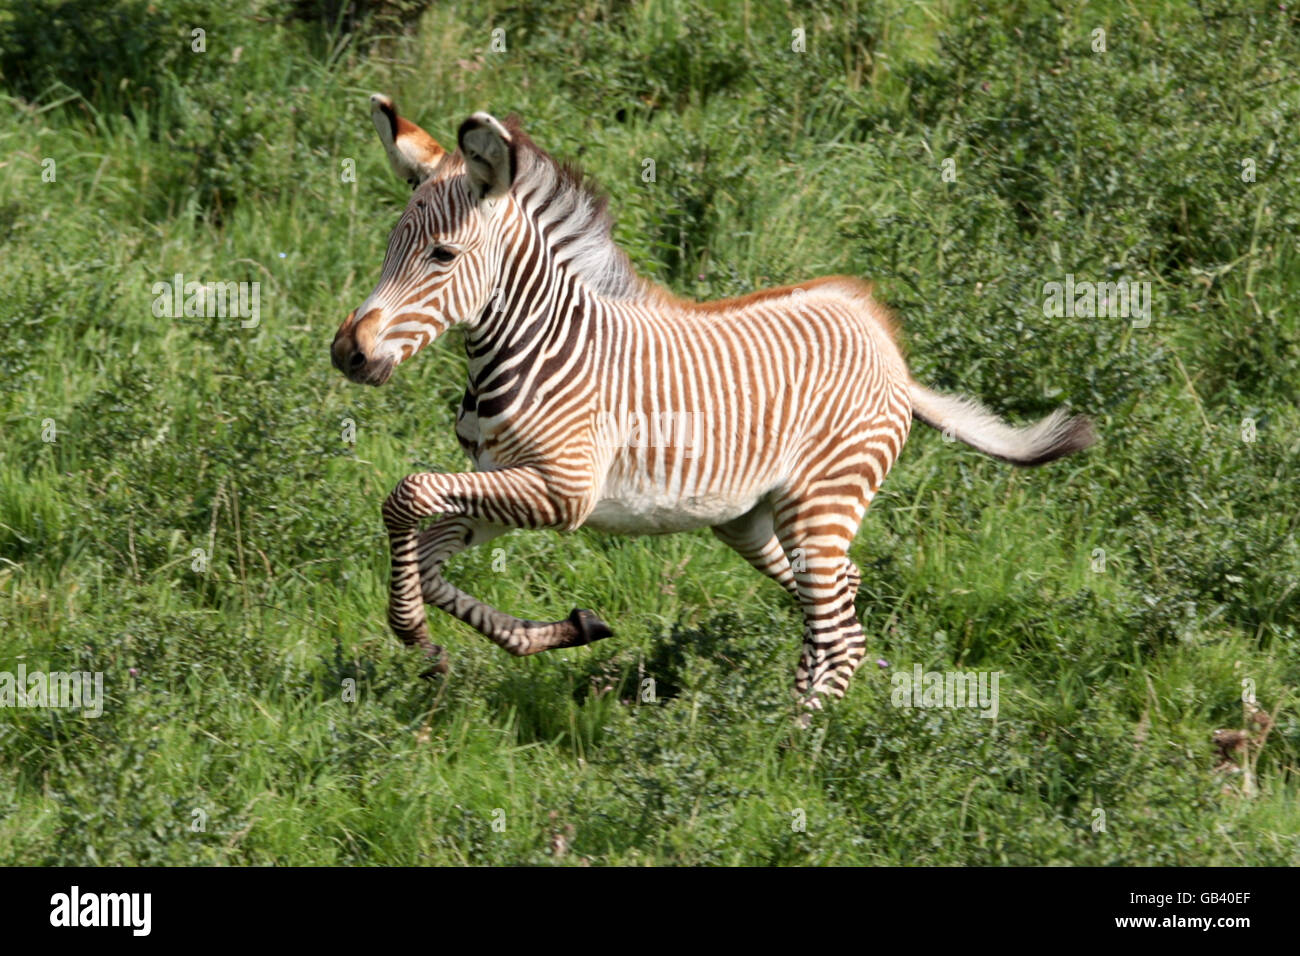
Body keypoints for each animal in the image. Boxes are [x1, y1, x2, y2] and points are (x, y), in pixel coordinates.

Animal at [331, 94, 1095, 708]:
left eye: (442, 256)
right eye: (391, 244)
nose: (348, 353)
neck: (533, 349)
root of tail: (893, 360)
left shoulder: (564, 490)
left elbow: (405, 495)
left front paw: (414, 634)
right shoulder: (501, 483)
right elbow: (428, 557)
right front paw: (539, 634)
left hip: (820, 500)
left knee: (835, 629)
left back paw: (794, 756)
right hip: (752, 518)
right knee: (841, 603)